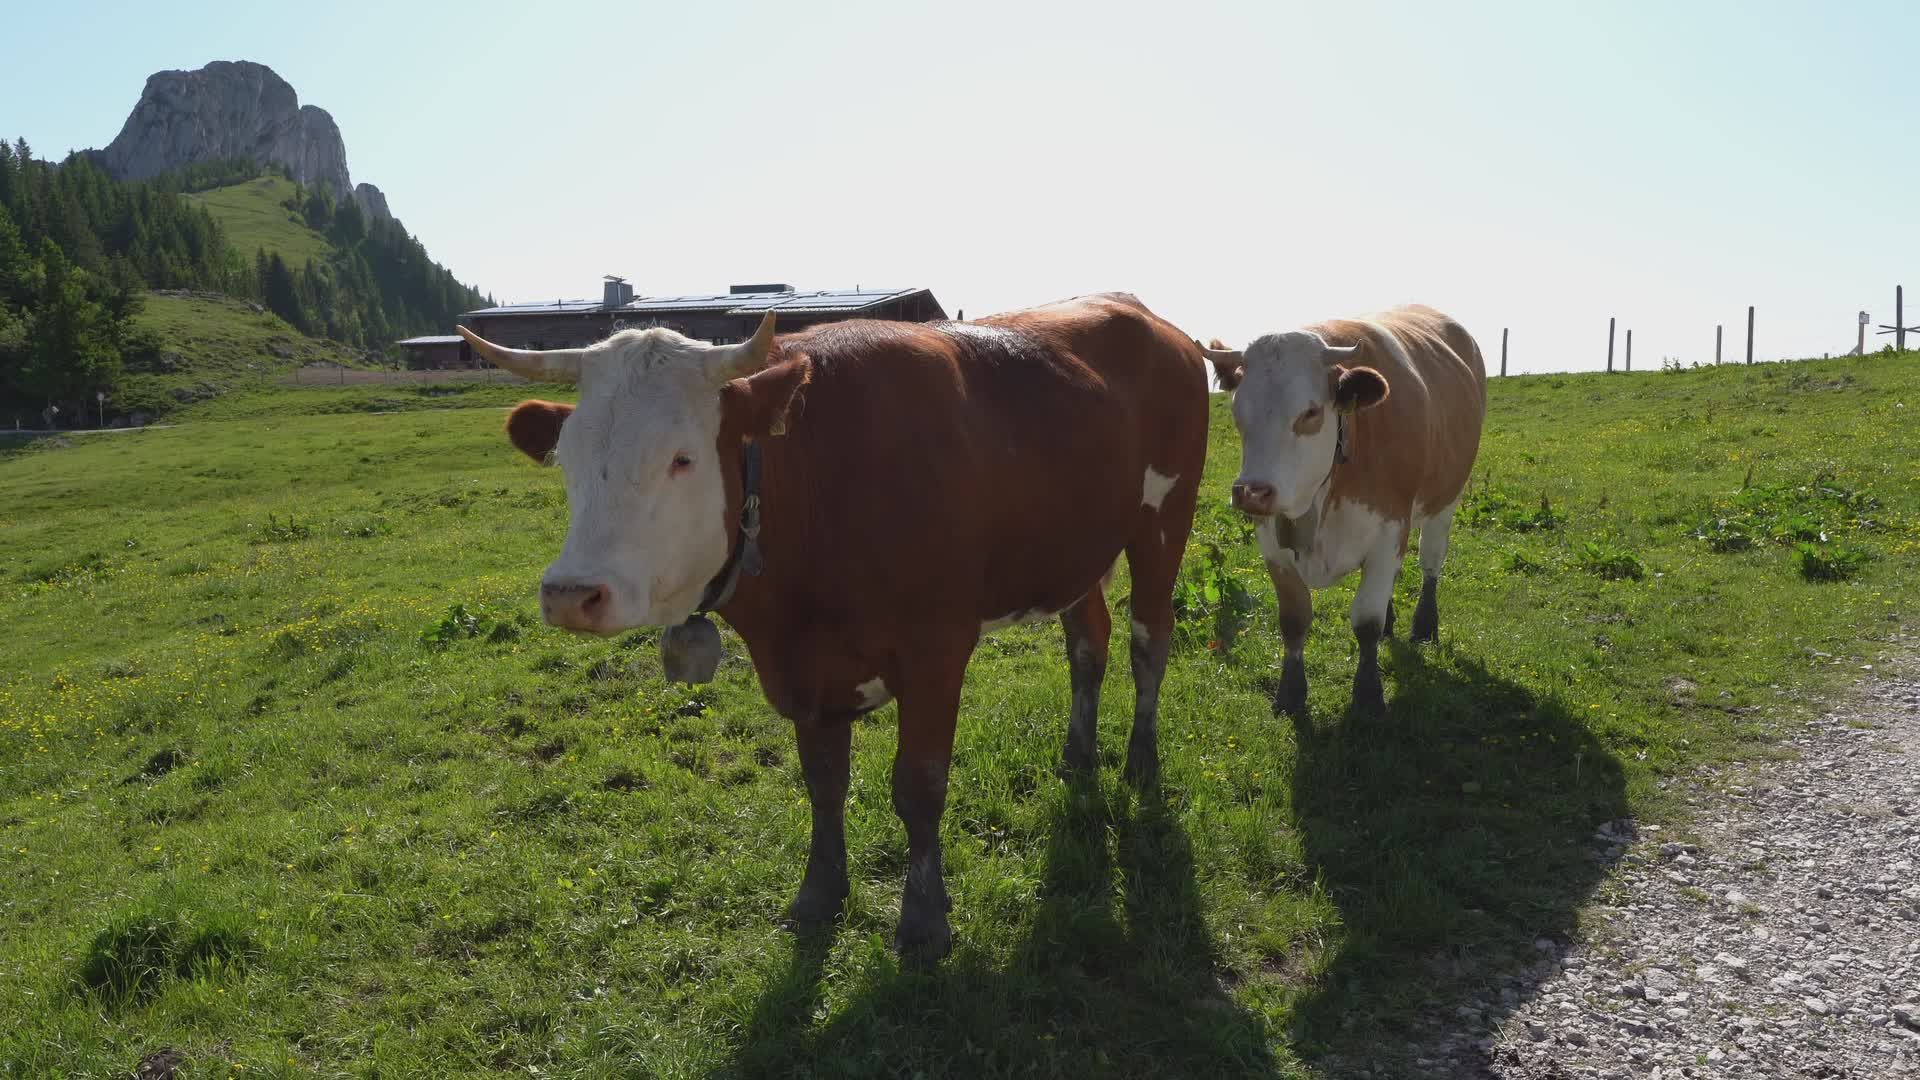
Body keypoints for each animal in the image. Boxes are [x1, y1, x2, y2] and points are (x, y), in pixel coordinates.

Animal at [457, 293, 1210, 956]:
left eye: (682, 457)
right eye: (568, 459)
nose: (570, 594)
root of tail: (1150, 319)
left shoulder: (937, 649)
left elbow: (919, 786)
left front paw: (924, 919)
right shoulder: (803, 669)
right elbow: (823, 782)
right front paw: (820, 893)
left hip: (1163, 524)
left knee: (1149, 640)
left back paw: (1141, 760)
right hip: (1076, 550)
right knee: (1088, 643)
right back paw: (1078, 755)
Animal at [1200, 304, 1486, 718]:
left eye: (1310, 412)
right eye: (1238, 411)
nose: (1251, 492)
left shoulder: (1389, 529)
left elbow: (1366, 621)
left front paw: (1368, 697)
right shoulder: (1272, 542)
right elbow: (1294, 619)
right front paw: (1290, 694)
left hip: (1446, 500)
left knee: (1431, 562)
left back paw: (1424, 625)